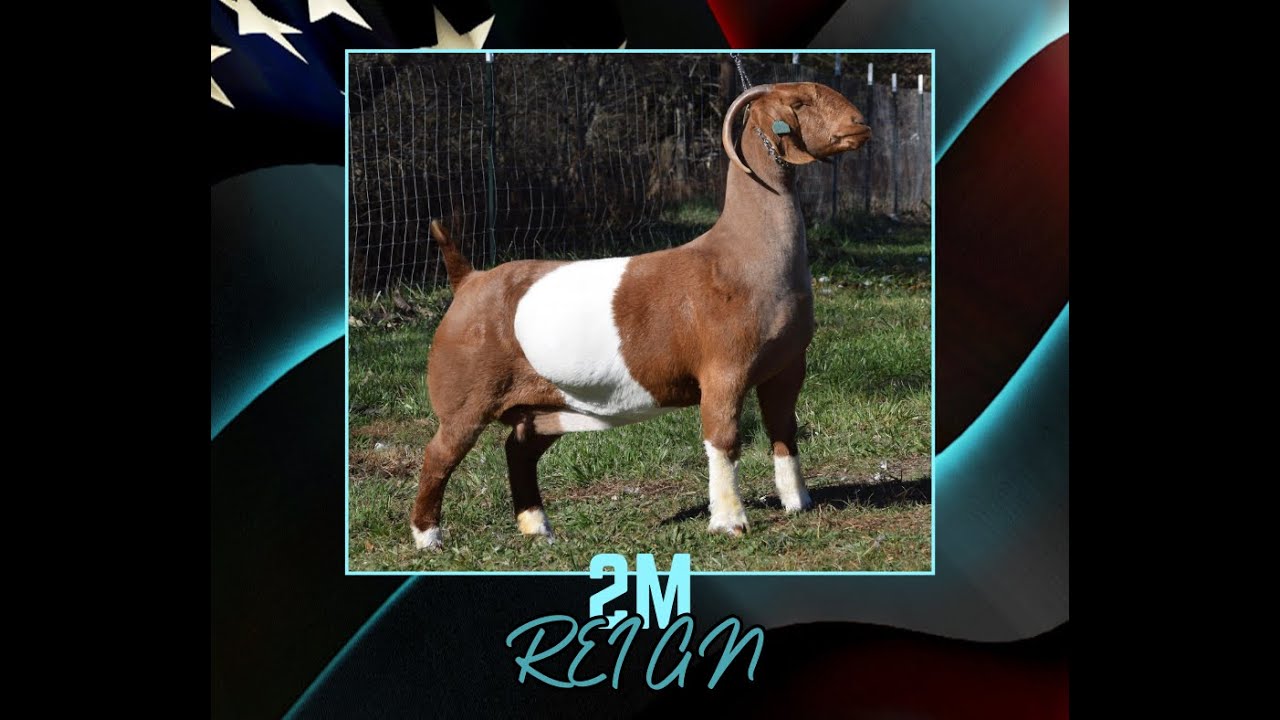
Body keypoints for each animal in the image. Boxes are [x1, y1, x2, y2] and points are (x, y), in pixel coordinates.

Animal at [411, 82, 870, 550]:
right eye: (799, 103)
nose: (859, 125)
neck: (741, 256)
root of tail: (468, 280)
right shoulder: (724, 371)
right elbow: (723, 441)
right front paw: (729, 521)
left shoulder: (787, 367)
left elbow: (784, 429)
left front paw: (799, 503)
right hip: (466, 399)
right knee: (439, 454)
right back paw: (428, 537)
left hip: (546, 407)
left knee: (518, 449)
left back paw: (538, 527)